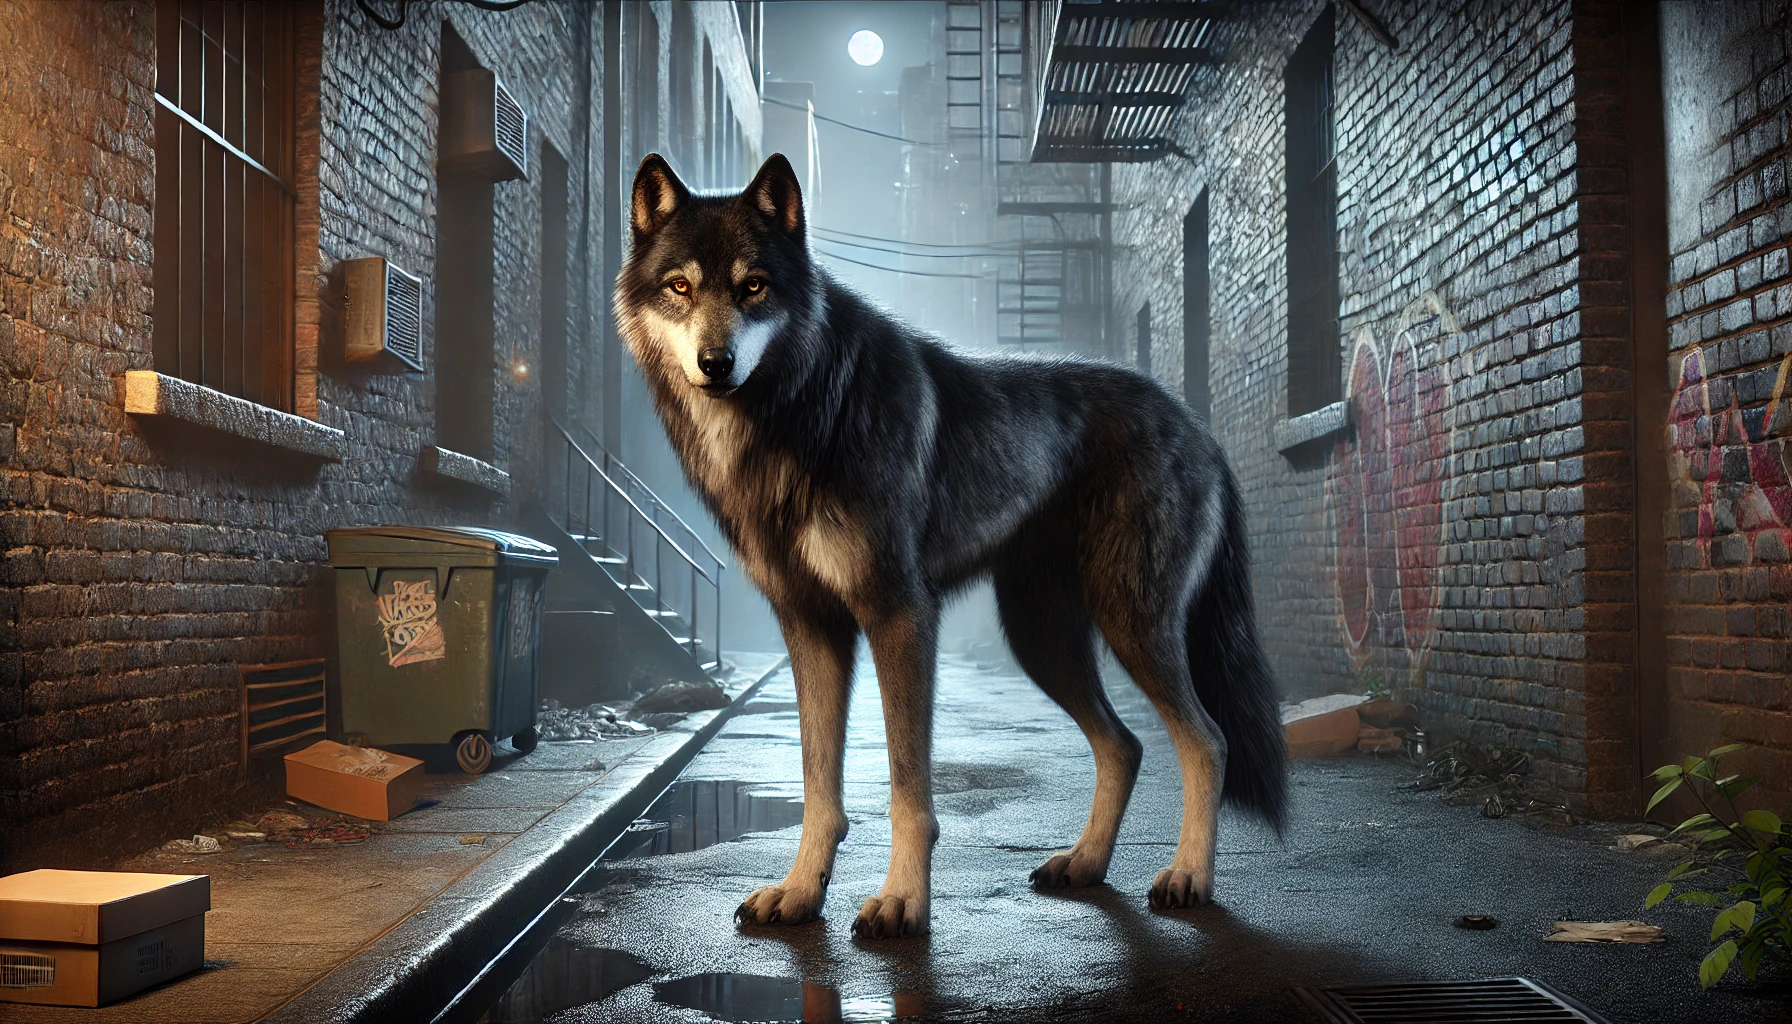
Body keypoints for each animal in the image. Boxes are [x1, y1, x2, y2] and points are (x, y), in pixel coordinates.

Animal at [615, 153, 1287, 939]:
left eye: (753, 286)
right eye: (680, 287)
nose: (715, 362)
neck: (804, 411)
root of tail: (1197, 423)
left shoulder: (900, 614)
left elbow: (909, 787)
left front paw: (902, 901)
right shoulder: (811, 626)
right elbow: (819, 784)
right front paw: (801, 892)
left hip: (1131, 625)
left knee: (1206, 740)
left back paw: (1188, 877)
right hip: (1043, 641)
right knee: (1125, 745)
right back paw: (1085, 864)